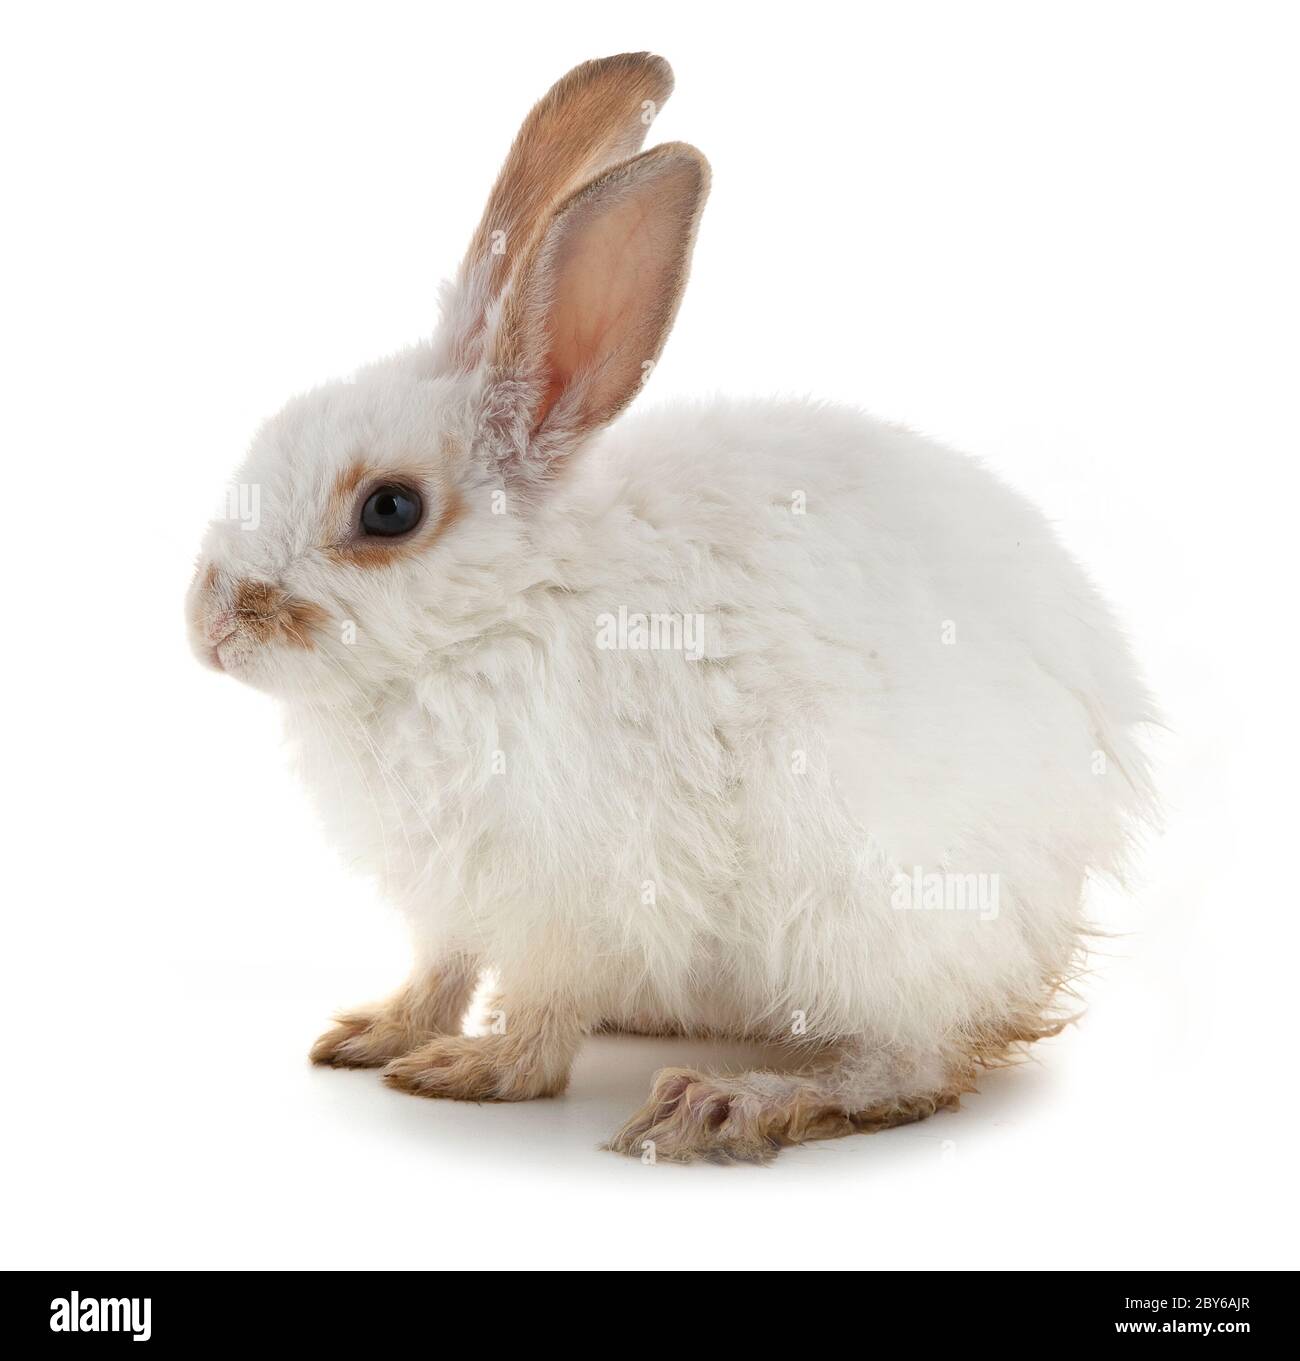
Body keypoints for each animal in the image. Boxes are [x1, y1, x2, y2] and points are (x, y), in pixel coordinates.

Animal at [187, 52, 1156, 1163]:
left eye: (389, 509)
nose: (207, 625)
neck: (508, 609)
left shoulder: (576, 887)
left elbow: (541, 1003)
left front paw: (475, 1069)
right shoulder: (451, 895)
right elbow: (442, 967)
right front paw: (376, 1030)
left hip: (874, 910)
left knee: (913, 1062)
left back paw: (731, 1099)